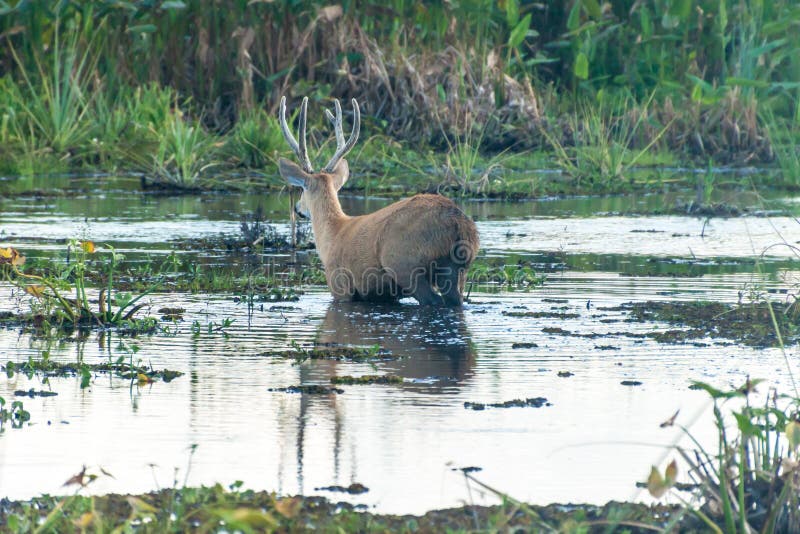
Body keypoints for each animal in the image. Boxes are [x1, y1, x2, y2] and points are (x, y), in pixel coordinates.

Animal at [278, 96, 478, 306]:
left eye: (302, 189)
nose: (297, 208)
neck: (332, 234)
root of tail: (459, 225)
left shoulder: (339, 283)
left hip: (405, 263)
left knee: (432, 300)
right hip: (457, 268)